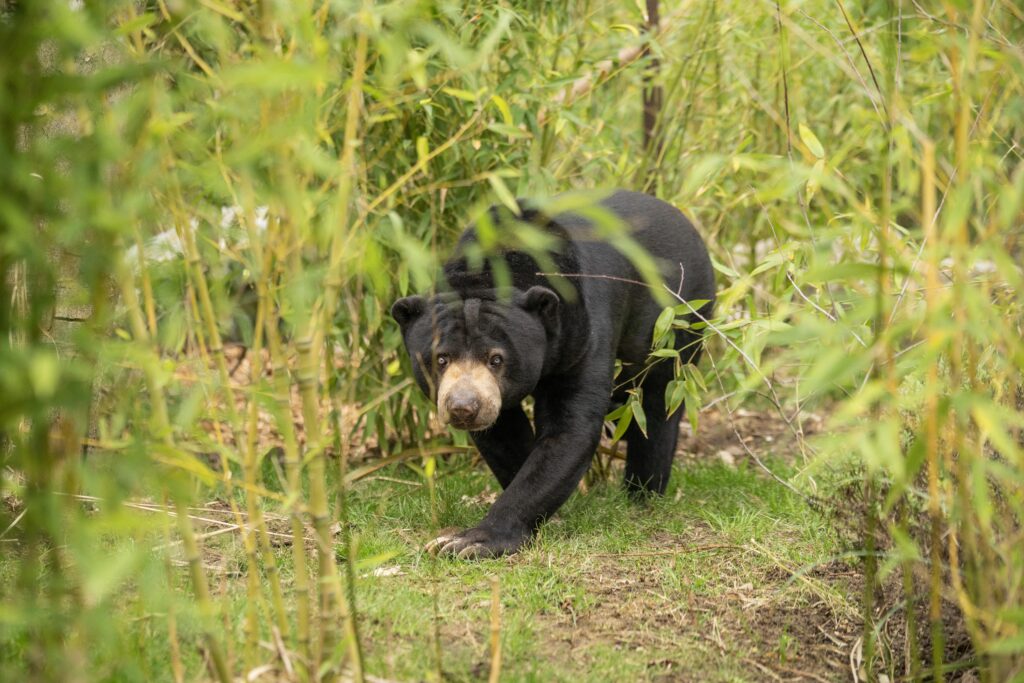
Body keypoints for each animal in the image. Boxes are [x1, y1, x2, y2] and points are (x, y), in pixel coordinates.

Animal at [391, 189, 715, 559]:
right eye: (441, 358)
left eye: (496, 359)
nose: (464, 408)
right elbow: (505, 435)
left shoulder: (582, 335)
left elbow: (568, 432)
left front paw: (468, 541)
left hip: (679, 316)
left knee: (658, 401)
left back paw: (643, 493)